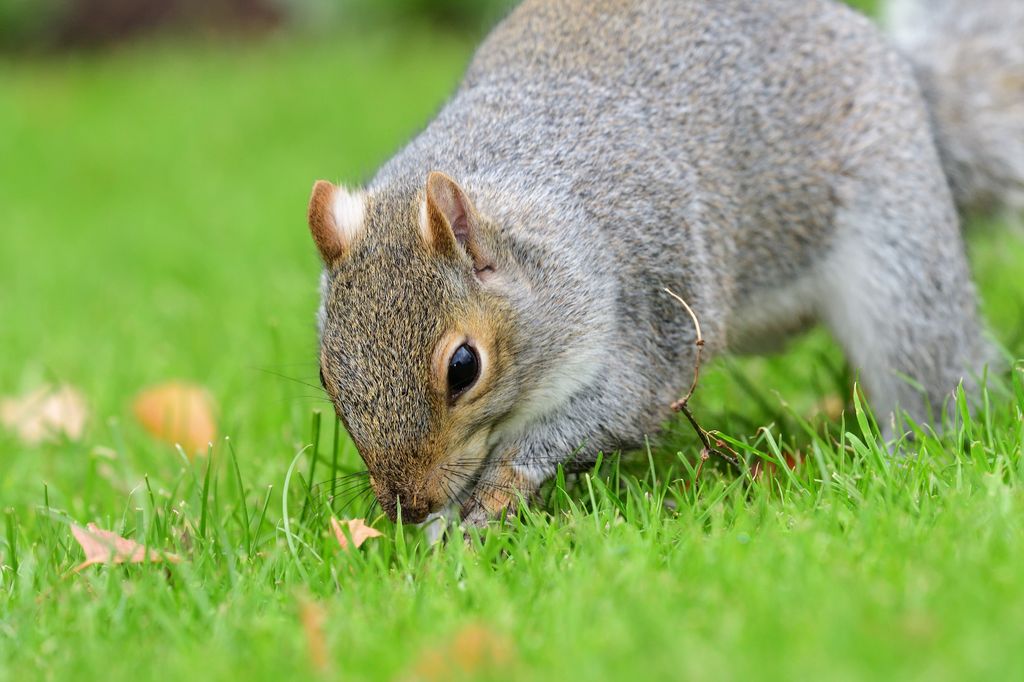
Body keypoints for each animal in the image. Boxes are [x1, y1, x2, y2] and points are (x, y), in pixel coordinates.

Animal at [306, 0, 1022, 526]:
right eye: (325, 376)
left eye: (464, 367)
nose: (406, 505)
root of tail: (907, 74)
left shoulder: (650, 307)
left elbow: (612, 409)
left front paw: (496, 494)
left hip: (898, 256)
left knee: (934, 364)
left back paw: (916, 455)